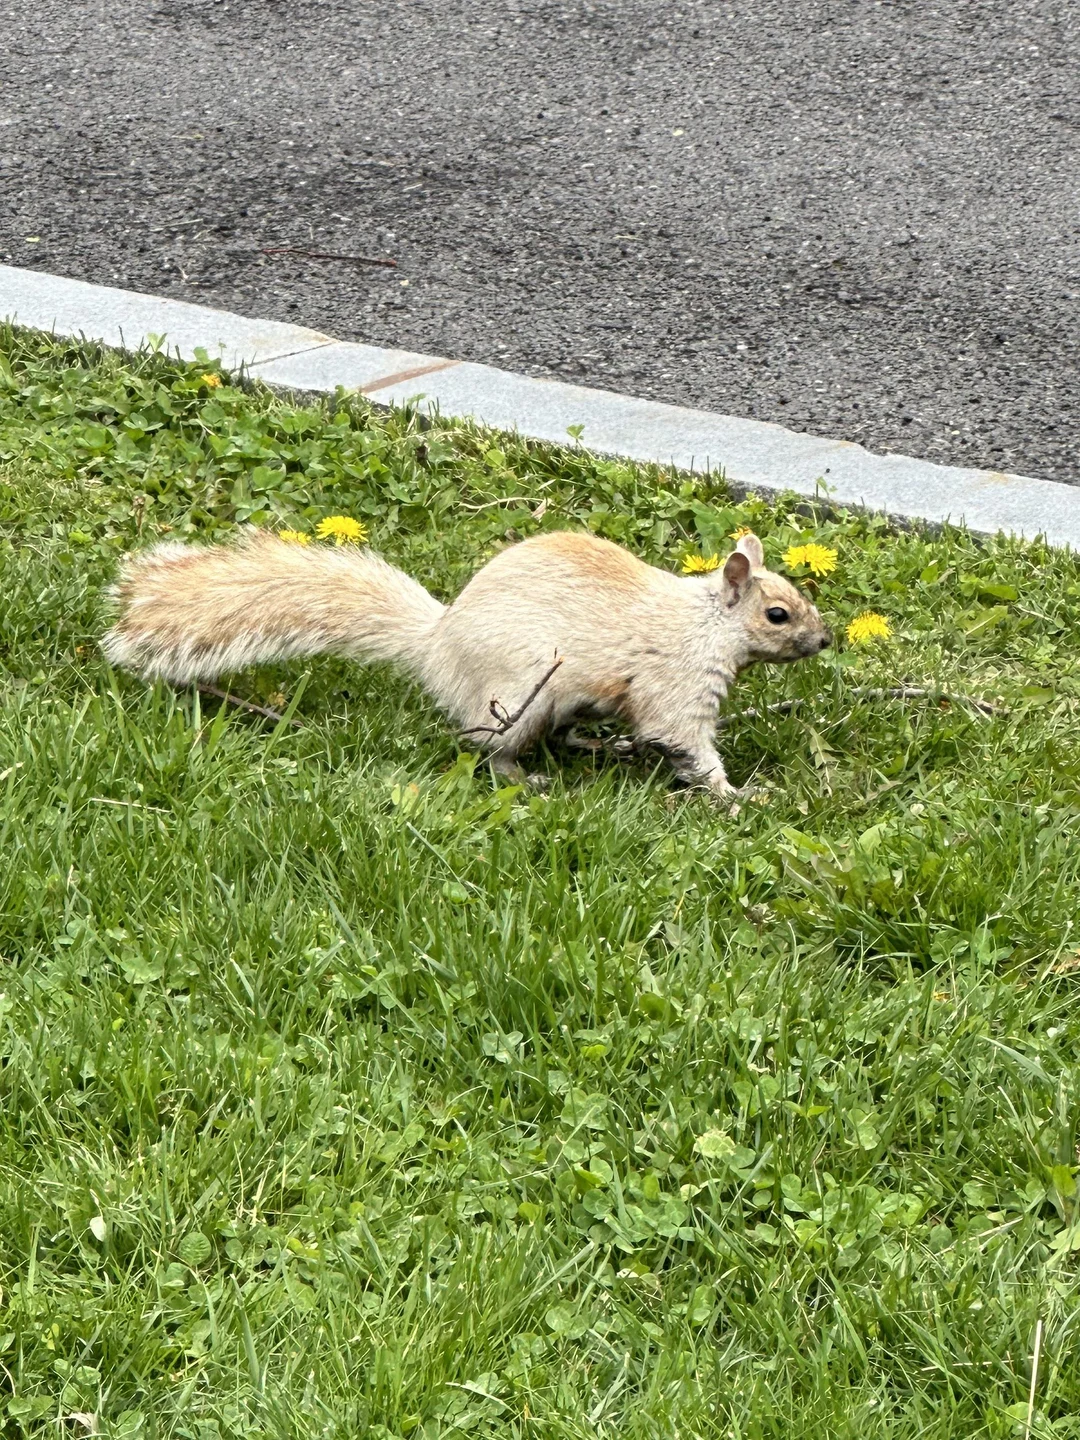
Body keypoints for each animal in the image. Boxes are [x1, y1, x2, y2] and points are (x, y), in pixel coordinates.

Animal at [102, 528, 831, 798]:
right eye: (778, 615)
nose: (824, 641)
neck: (706, 622)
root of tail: (438, 643)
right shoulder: (677, 682)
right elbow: (685, 741)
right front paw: (736, 794)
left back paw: (596, 745)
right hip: (520, 692)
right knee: (489, 745)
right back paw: (525, 776)